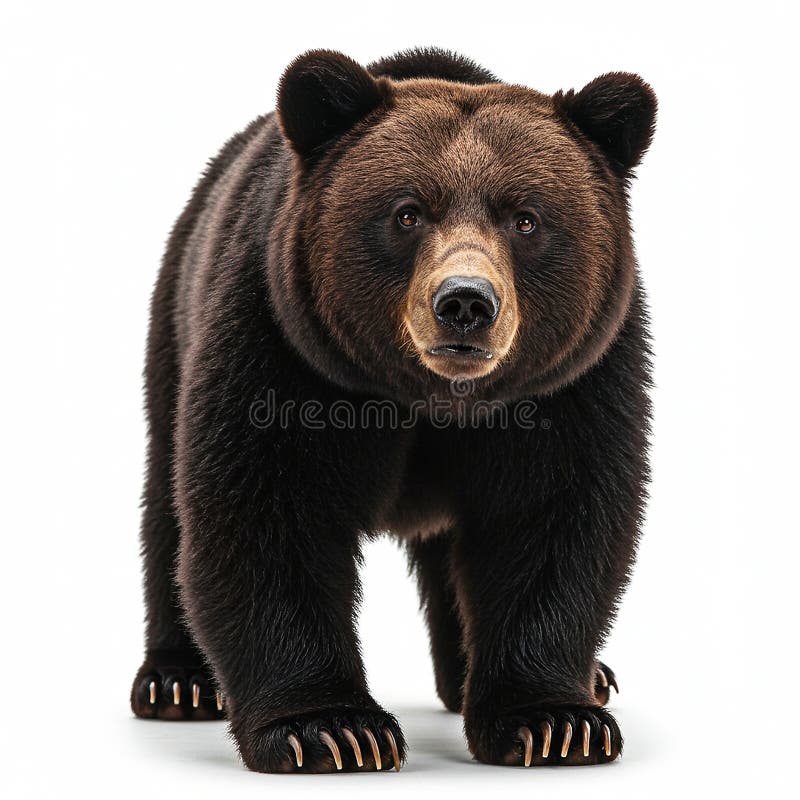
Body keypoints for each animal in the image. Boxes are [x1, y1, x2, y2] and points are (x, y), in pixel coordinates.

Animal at [130, 47, 656, 774]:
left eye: (524, 218)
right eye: (408, 213)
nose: (465, 302)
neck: (430, 400)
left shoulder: (572, 384)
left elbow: (552, 521)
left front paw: (554, 721)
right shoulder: (283, 354)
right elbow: (267, 516)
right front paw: (331, 730)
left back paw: (564, 678)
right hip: (178, 317)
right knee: (167, 498)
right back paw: (177, 681)